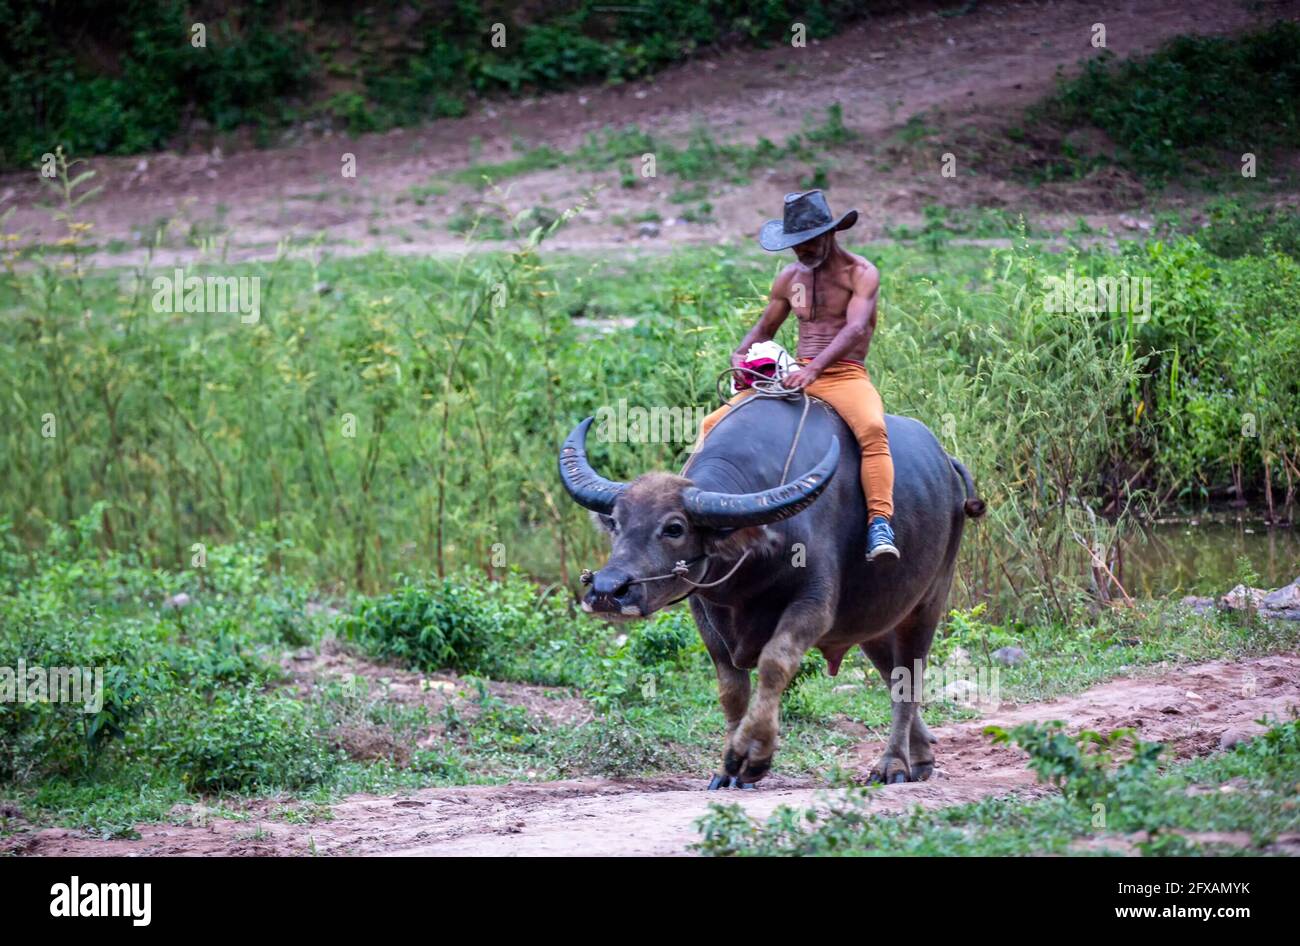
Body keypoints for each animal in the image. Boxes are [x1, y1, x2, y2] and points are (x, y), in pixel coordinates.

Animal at [558, 395, 984, 786]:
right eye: (616, 522)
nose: (607, 590)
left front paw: (753, 756)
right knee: (891, 673)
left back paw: (893, 764)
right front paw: (727, 767)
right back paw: (922, 757)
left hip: (928, 600)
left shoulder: (813, 605)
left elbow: (774, 663)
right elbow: (731, 688)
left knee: (909, 675)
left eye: (675, 528)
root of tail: (947, 465)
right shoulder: (704, 610)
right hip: (873, 620)